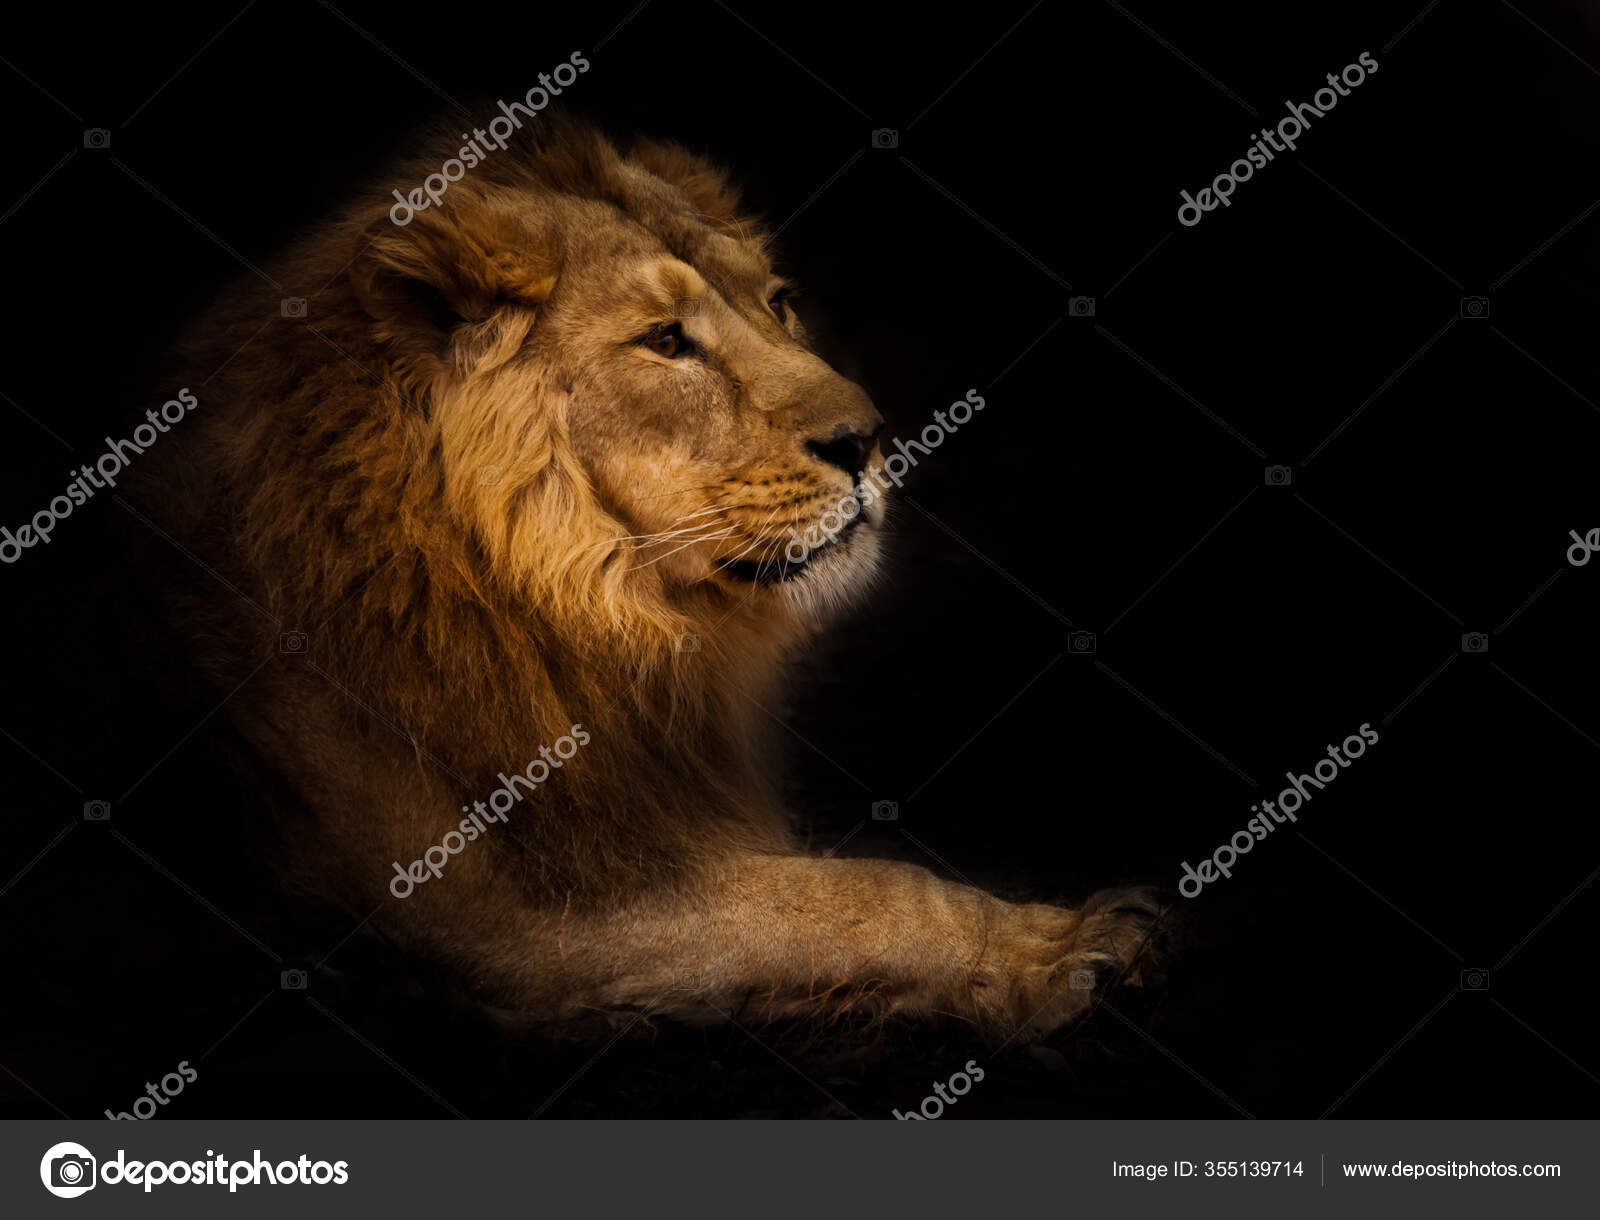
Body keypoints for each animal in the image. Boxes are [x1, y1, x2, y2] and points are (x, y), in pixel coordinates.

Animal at [127, 111, 1160, 1043]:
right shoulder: (508, 918)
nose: (867, 438)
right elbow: (857, 897)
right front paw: (1052, 950)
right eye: (666, 341)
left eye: (778, 301)